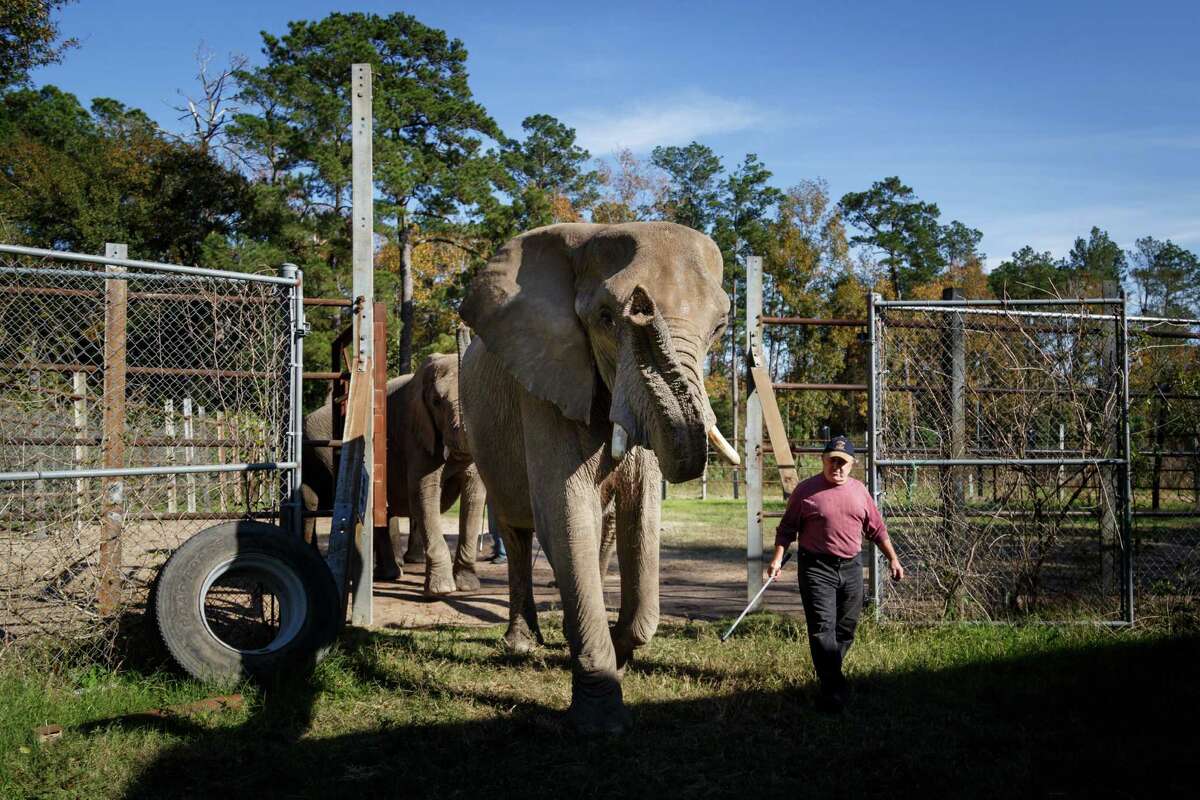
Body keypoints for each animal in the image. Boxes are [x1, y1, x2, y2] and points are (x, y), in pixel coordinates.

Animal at [302, 353, 486, 594]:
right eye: (436, 402)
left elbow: (474, 497)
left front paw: (468, 587)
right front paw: (442, 590)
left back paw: (390, 573)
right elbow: (424, 495)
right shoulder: (415, 433)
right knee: (312, 502)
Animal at [459, 221, 739, 733]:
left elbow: (641, 513)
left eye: (720, 327)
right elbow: (566, 514)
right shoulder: (547, 382)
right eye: (607, 318)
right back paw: (521, 643)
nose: (642, 308)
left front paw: (621, 653)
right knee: (517, 529)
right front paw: (600, 721)